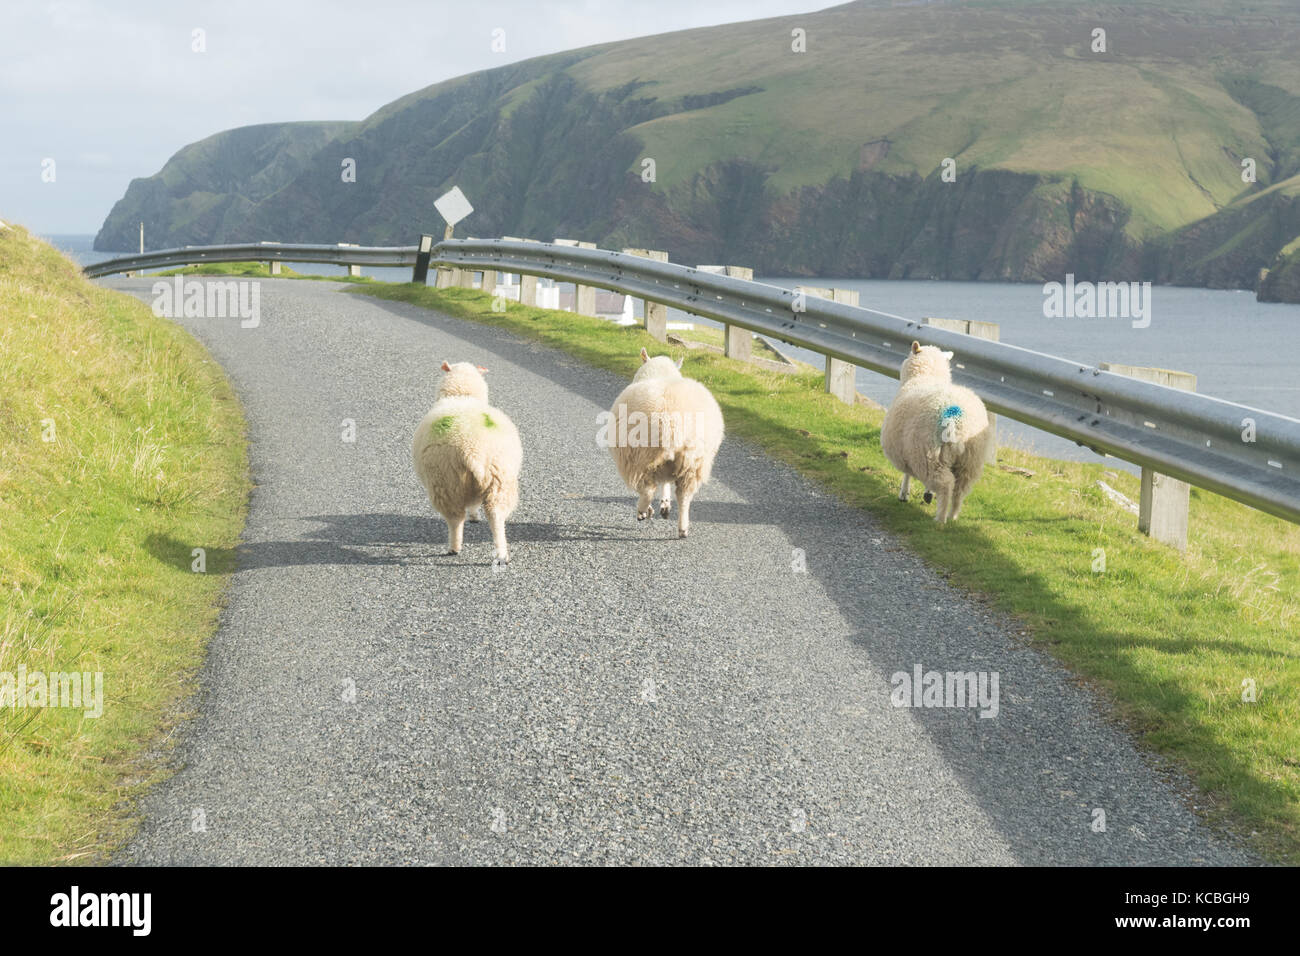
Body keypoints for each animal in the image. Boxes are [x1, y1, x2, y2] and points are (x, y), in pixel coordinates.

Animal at [412, 361, 522, 564]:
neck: (462, 395)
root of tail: (473, 451)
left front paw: (473, 517)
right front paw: (475, 516)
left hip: (445, 484)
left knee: (455, 519)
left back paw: (454, 547)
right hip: (499, 481)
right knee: (496, 516)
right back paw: (502, 554)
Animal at [605, 347, 724, 538]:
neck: (662, 374)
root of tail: (672, 425)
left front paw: (656, 508)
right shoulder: (669, 465)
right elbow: (666, 483)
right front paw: (665, 505)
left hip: (639, 457)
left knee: (647, 489)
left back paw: (642, 511)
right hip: (693, 463)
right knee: (684, 496)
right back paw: (682, 528)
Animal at [880, 341, 992, 524]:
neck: (926, 377)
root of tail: (959, 421)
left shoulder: (909, 450)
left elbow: (907, 473)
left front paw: (904, 494)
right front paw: (927, 494)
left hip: (928, 454)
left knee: (946, 485)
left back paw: (940, 518)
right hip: (970, 460)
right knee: (960, 490)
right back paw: (953, 516)